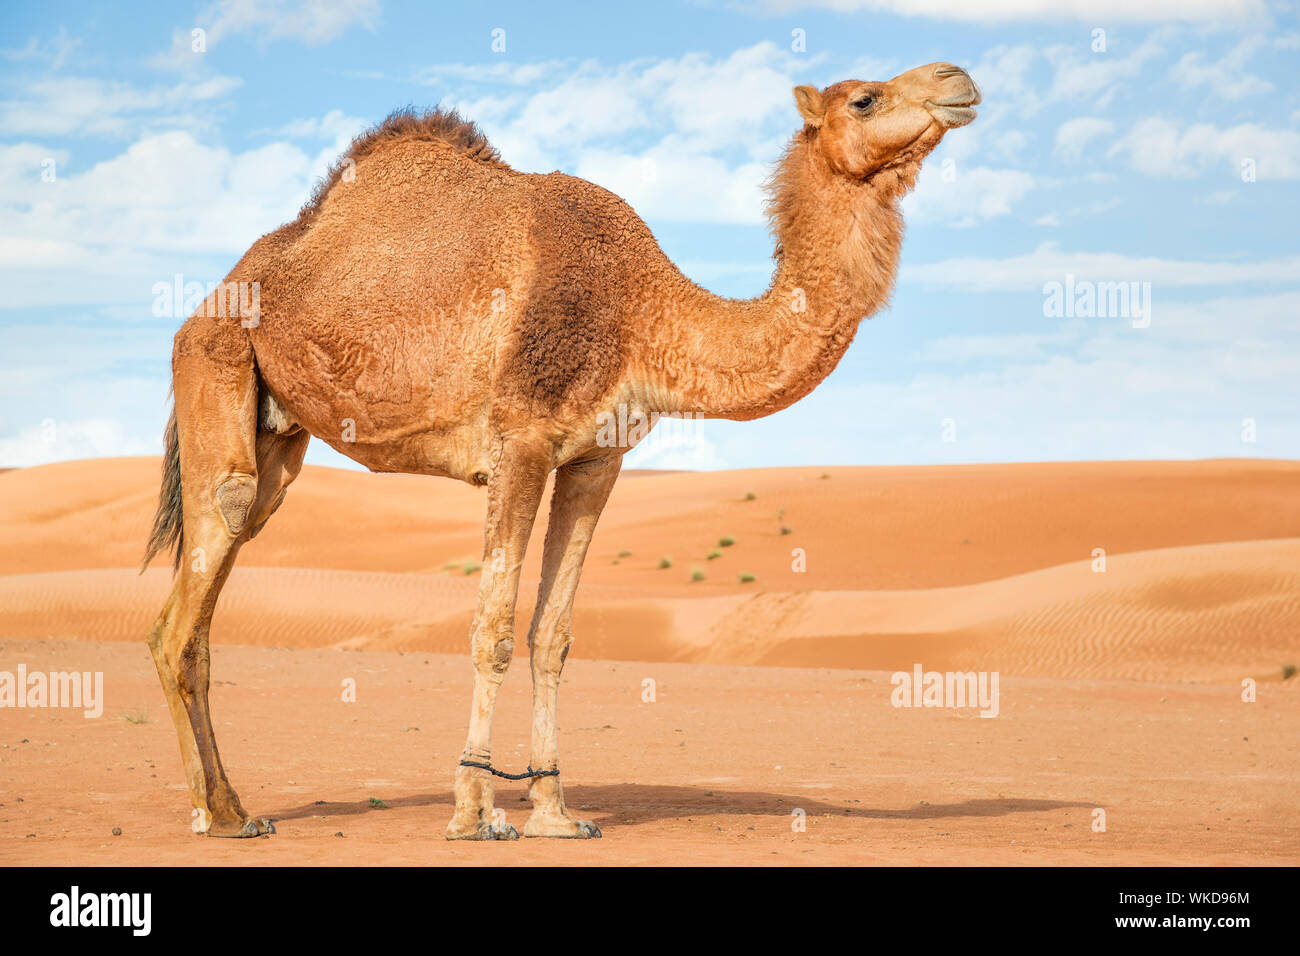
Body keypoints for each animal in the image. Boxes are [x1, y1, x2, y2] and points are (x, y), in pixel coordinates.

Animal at [141, 61, 980, 841]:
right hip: (216, 363)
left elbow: (553, 636)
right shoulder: (520, 439)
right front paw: (475, 812)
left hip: (278, 436)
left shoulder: (594, 458)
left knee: (200, 605)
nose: (959, 81)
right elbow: (493, 630)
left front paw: (553, 810)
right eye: (865, 98)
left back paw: (226, 808)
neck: (641, 309)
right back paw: (223, 813)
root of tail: (209, 300)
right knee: (202, 568)